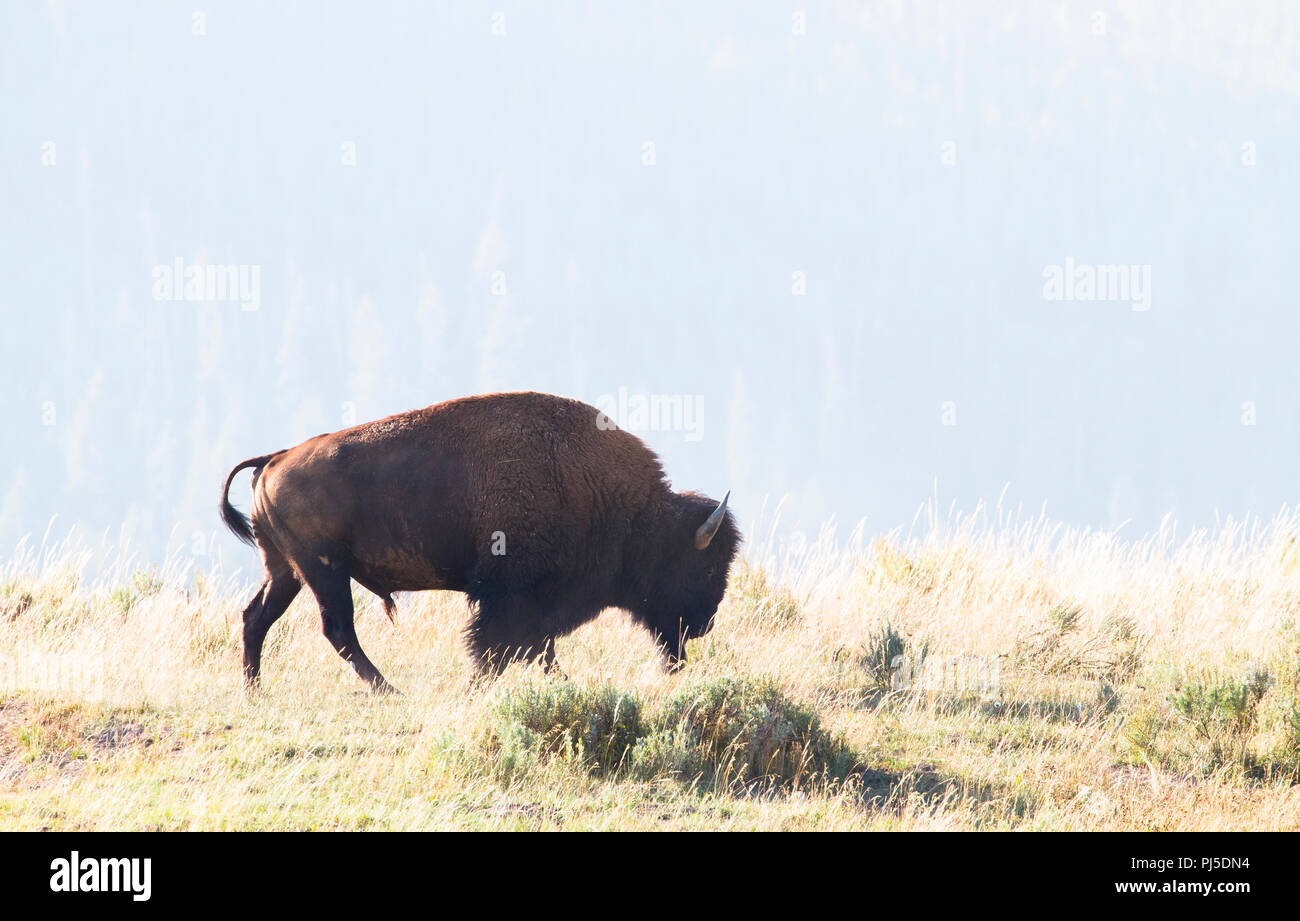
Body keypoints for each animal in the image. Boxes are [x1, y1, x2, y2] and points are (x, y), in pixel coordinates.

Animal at [220, 391, 739, 693]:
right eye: (704, 566)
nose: (703, 625)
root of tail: (276, 458)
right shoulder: (509, 595)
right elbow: (498, 646)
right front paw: (479, 687)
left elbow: (537, 647)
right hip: (323, 571)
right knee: (337, 629)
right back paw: (388, 690)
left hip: (286, 571)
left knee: (256, 618)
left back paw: (254, 690)